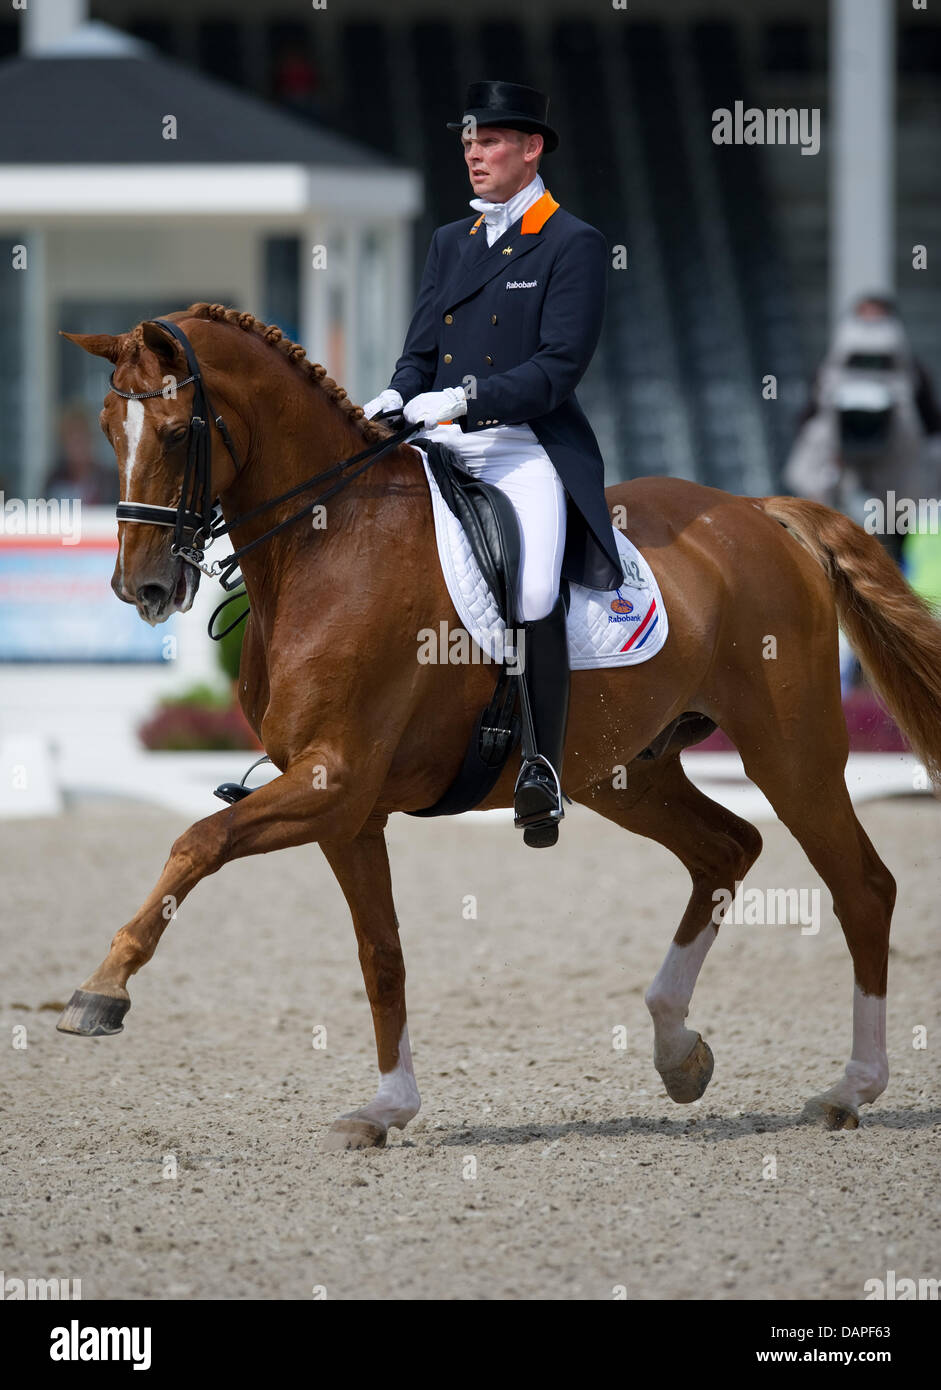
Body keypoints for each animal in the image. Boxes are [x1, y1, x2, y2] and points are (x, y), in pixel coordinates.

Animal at [57, 303, 941, 1148]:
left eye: (177, 432)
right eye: (106, 428)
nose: (141, 587)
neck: (330, 544)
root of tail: (759, 511)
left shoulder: (332, 780)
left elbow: (197, 841)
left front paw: (100, 991)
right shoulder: (346, 809)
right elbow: (381, 954)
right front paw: (387, 1108)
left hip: (789, 753)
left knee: (861, 888)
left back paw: (848, 1089)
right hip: (626, 770)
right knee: (726, 848)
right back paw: (676, 1048)